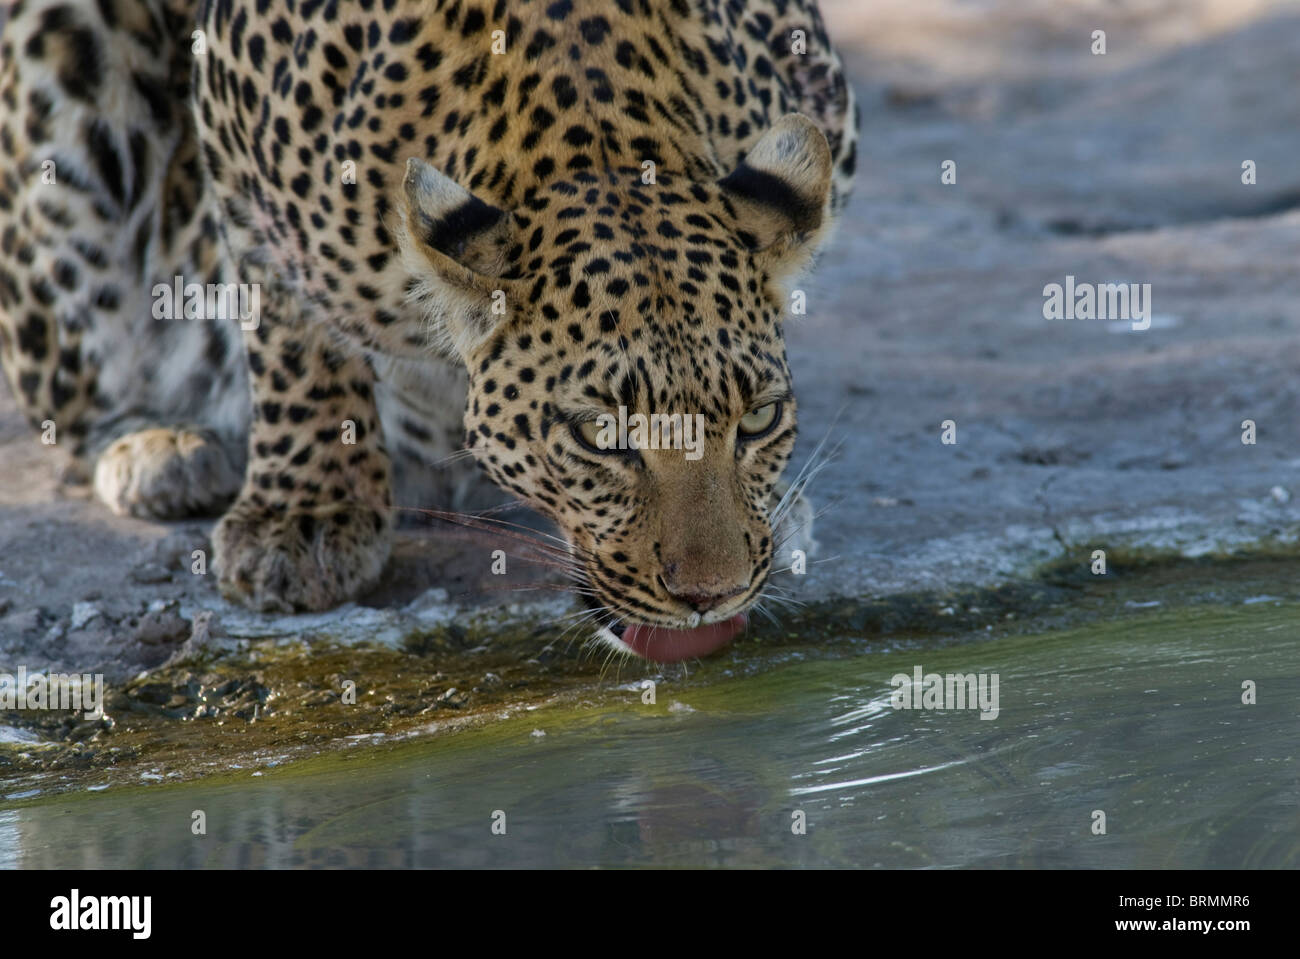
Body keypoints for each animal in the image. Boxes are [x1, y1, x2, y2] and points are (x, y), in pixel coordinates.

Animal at [0, 0, 857, 662]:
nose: (713, 596)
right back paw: (157, 445)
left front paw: (777, 509)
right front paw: (304, 518)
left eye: (759, 418)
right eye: (599, 436)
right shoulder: (232, 129)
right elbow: (289, 330)